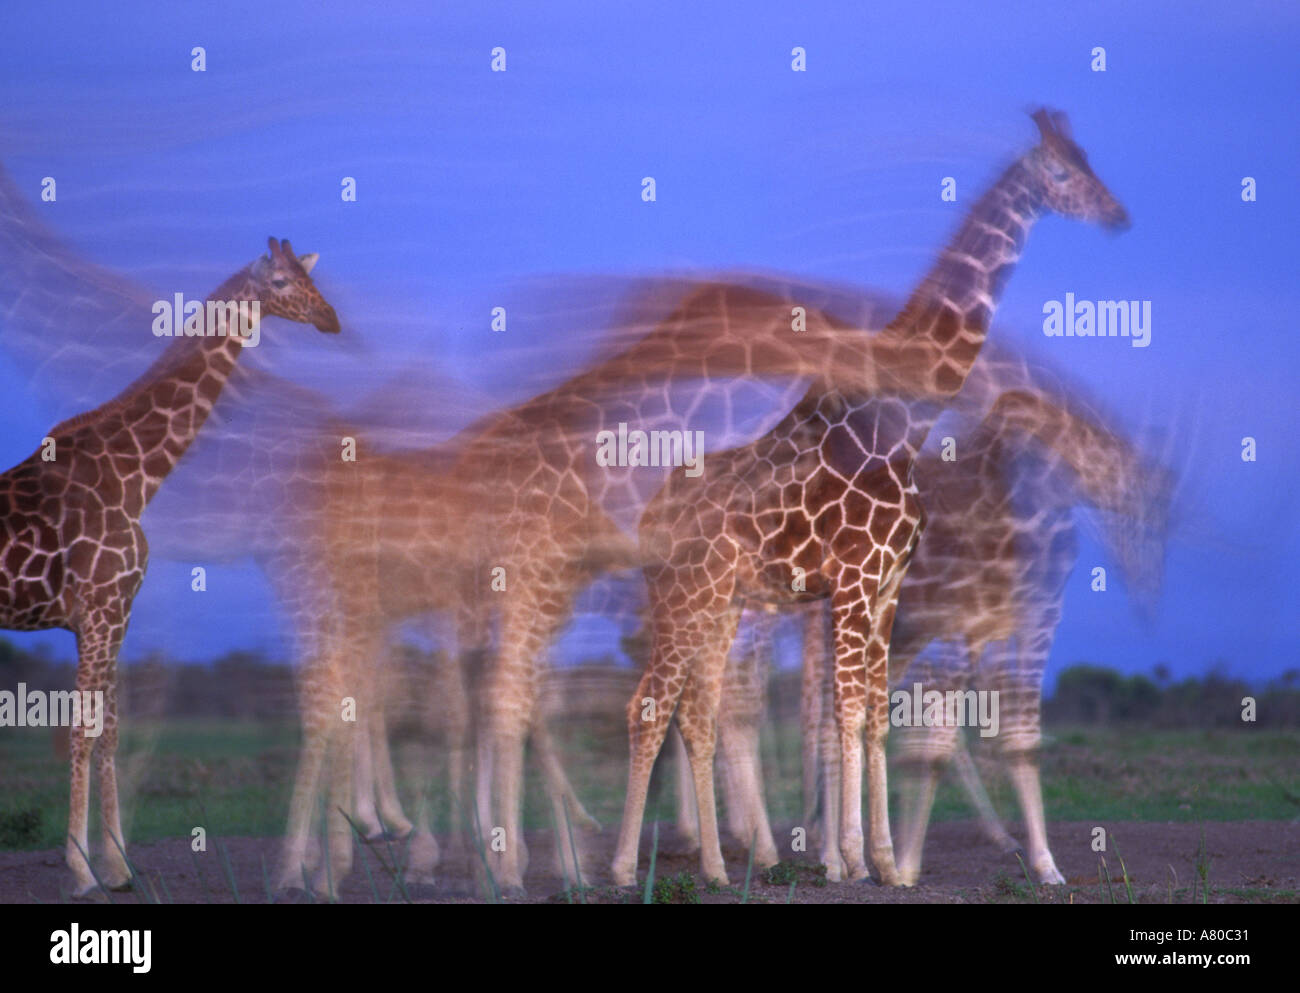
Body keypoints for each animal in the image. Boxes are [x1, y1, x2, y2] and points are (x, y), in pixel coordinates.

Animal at [0, 235, 339, 895]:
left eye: (312, 278)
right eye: (280, 282)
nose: (330, 320)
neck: (137, 476)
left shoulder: (111, 615)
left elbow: (110, 731)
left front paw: (117, 867)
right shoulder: (101, 608)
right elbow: (83, 729)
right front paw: (80, 871)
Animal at [610, 109, 1130, 887]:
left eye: (1090, 157)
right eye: (1064, 171)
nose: (1119, 215)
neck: (907, 423)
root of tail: (648, 518)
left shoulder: (887, 587)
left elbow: (877, 714)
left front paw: (887, 860)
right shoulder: (854, 582)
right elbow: (849, 711)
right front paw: (851, 859)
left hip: (720, 604)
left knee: (697, 711)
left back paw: (717, 867)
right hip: (684, 596)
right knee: (649, 703)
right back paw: (620, 867)